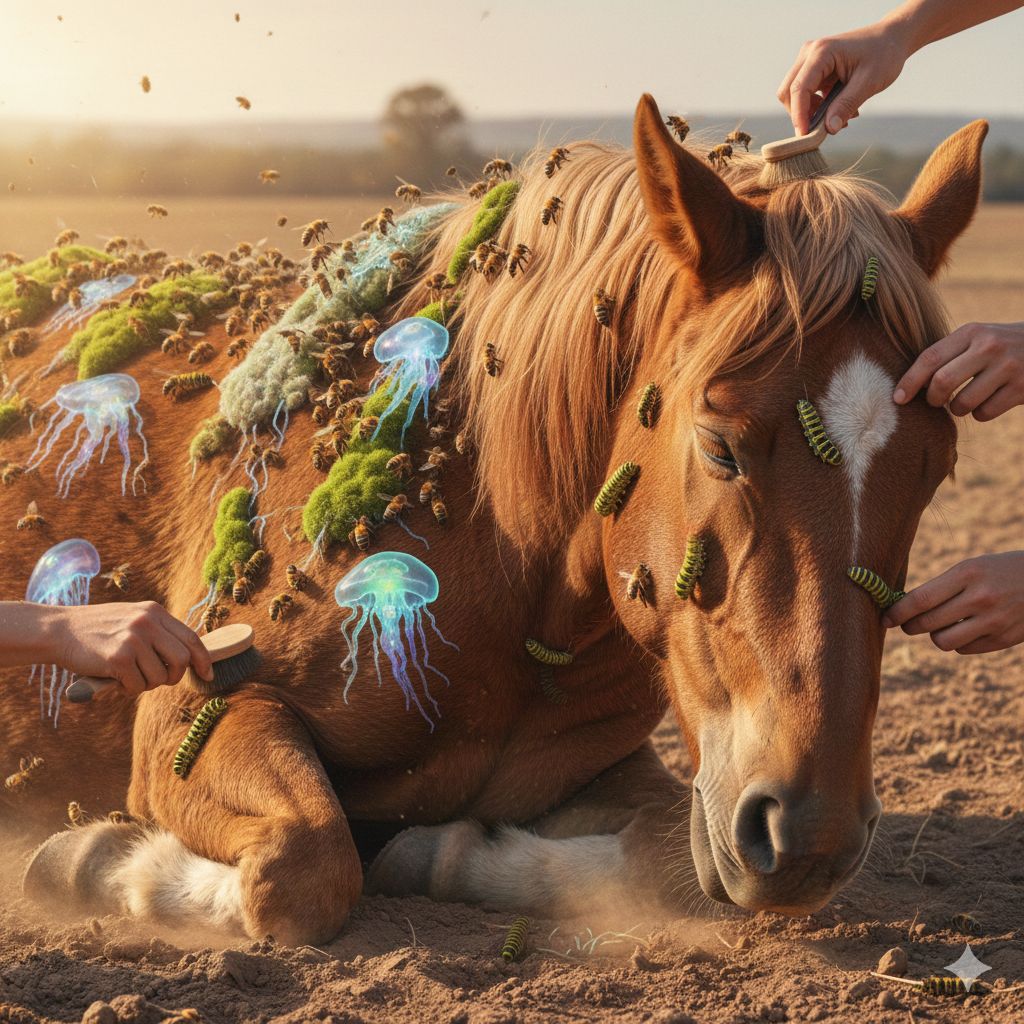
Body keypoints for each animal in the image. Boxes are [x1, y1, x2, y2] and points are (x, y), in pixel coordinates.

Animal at [0, 95, 986, 945]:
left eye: (936, 466)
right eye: (719, 445)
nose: (811, 840)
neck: (504, 554)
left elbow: (659, 862)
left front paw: (439, 851)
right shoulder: (191, 708)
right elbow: (304, 863)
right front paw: (94, 859)